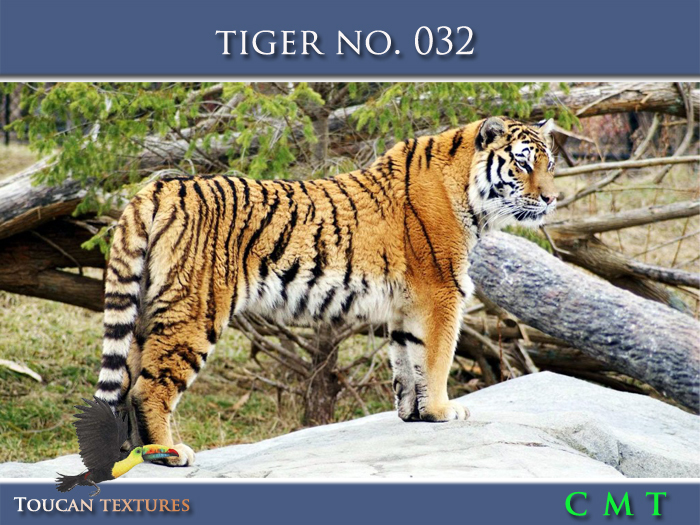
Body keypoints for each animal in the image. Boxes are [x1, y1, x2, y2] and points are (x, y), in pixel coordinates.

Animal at [94, 116, 558, 466]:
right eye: (521, 164)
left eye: (550, 164)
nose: (553, 199)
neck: (470, 197)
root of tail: (160, 186)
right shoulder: (442, 293)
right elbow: (437, 358)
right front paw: (444, 411)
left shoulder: (407, 304)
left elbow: (408, 360)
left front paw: (416, 414)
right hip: (194, 311)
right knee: (149, 387)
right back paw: (170, 453)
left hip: (147, 309)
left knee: (128, 381)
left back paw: (133, 452)